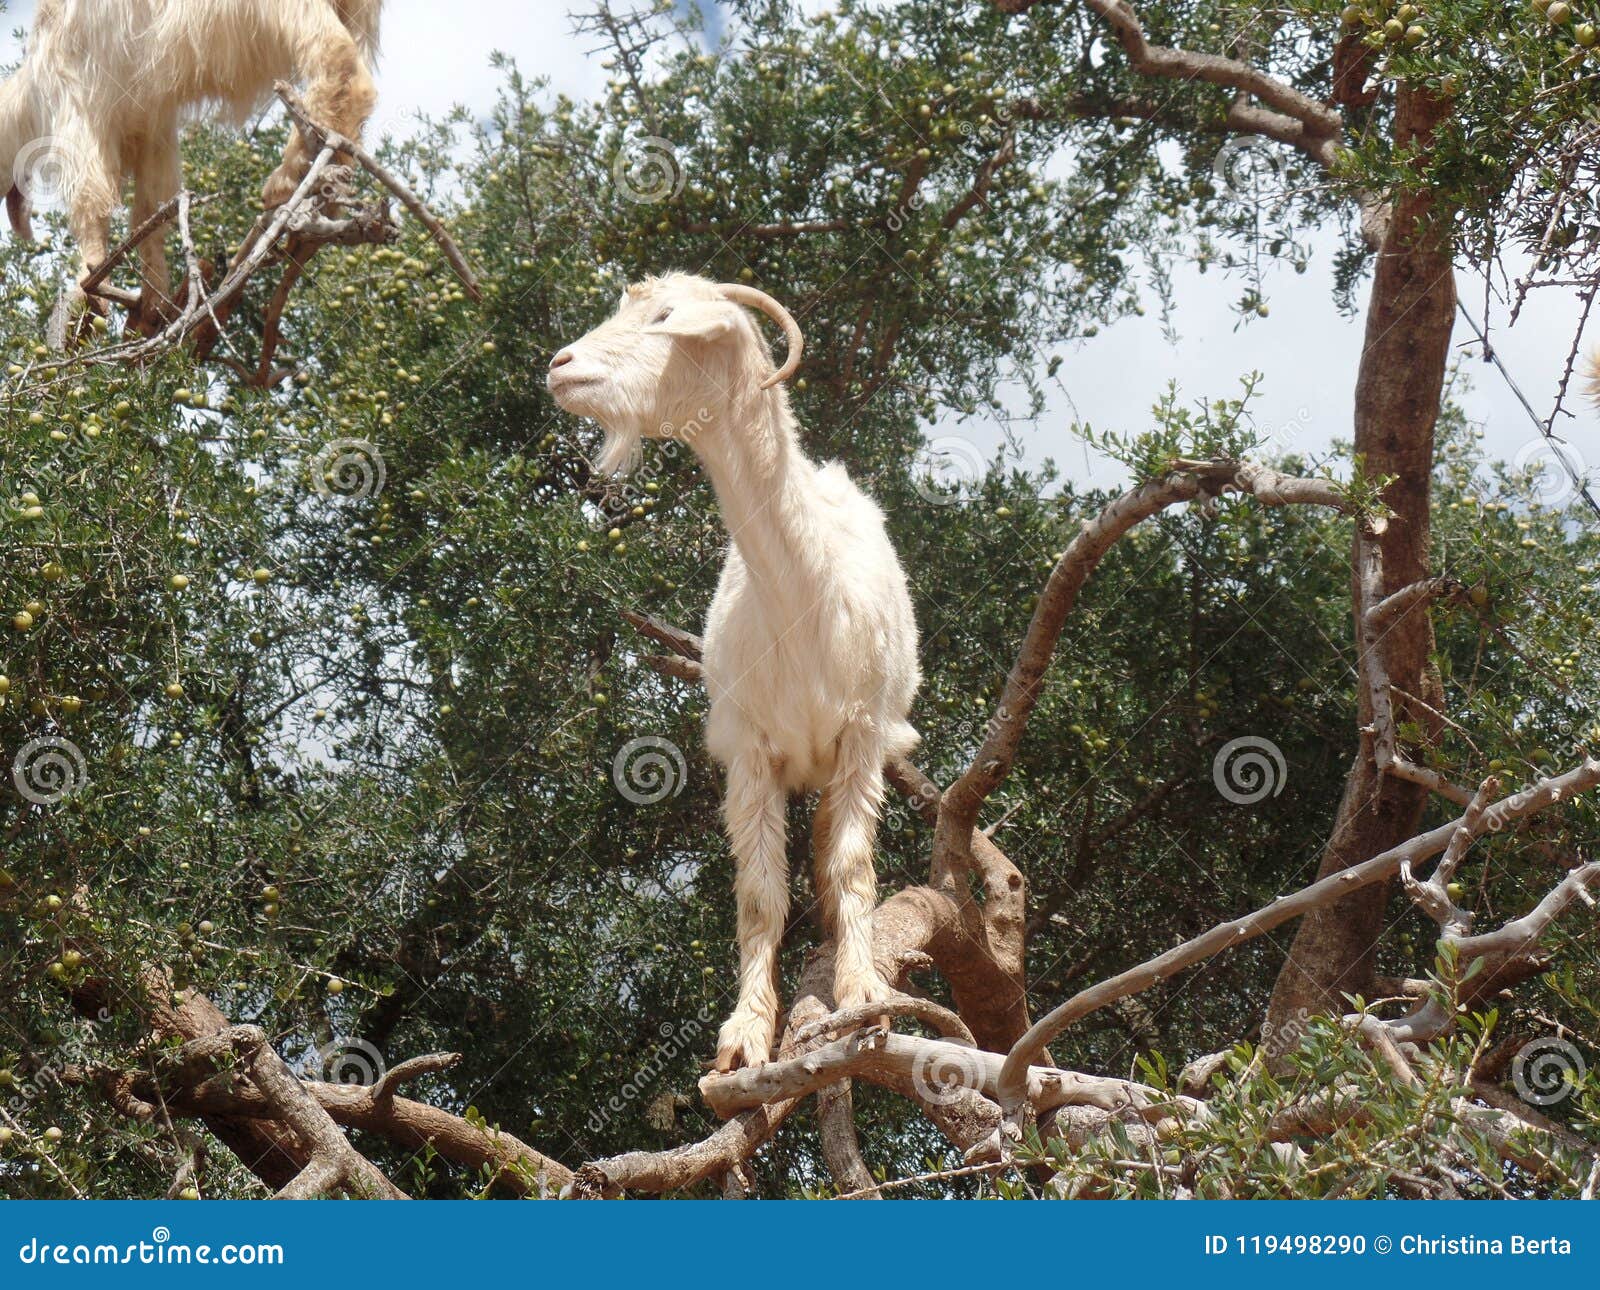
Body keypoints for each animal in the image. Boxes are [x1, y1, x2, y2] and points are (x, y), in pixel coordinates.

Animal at [0, 0, 381, 322]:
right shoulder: (152, 124)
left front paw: (91, 284)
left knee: (337, 61)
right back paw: (326, 176)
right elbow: (151, 210)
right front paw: (153, 299)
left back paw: (287, 181)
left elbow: (90, 200)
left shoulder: (79, 106)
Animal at [548, 274, 921, 1070]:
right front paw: (745, 1033)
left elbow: (852, 868)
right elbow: (758, 895)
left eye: (665, 317)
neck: (803, 594)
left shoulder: (864, 734)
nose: (561, 365)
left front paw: (862, 992)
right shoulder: (747, 748)